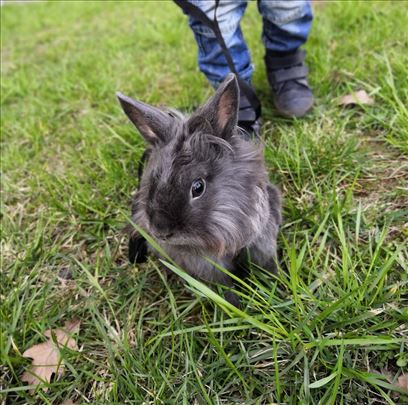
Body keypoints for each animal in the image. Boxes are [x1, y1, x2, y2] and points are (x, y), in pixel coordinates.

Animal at [115, 73, 280, 306]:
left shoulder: (262, 245)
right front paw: (234, 306)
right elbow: (224, 289)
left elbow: (267, 270)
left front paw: (278, 293)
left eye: (198, 187)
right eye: (153, 180)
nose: (161, 231)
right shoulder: (207, 267)